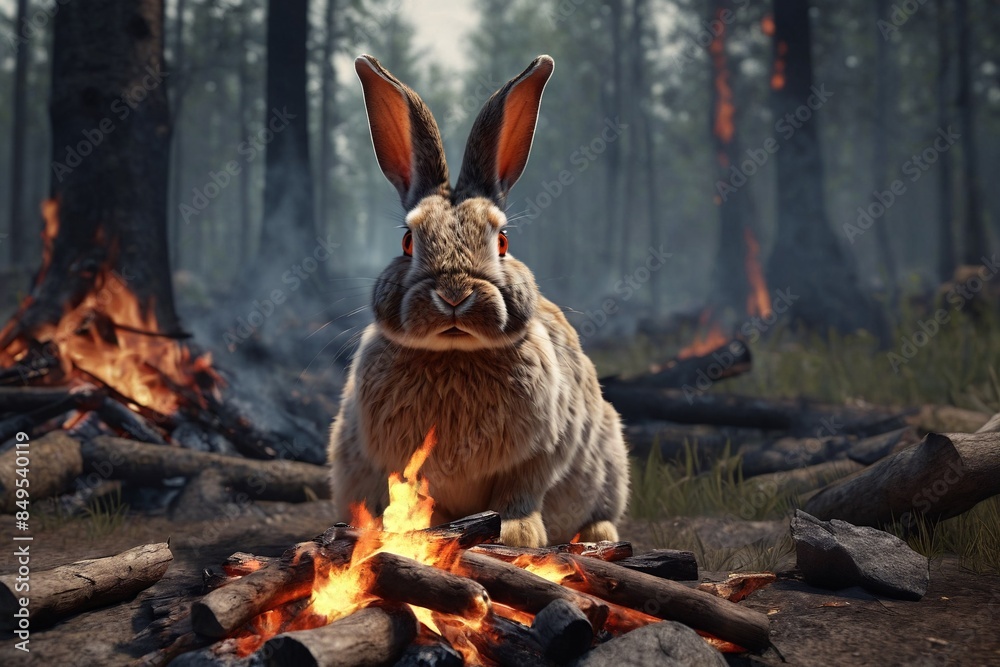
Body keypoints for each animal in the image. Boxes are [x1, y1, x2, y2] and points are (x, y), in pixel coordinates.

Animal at [328, 54, 629, 548]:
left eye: (502, 241)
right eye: (408, 241)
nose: (455, 293)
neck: (455, 353)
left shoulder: (542, 452)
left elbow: (520, 494)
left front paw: (518, 537)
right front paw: (423, 534)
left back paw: (597, 533)